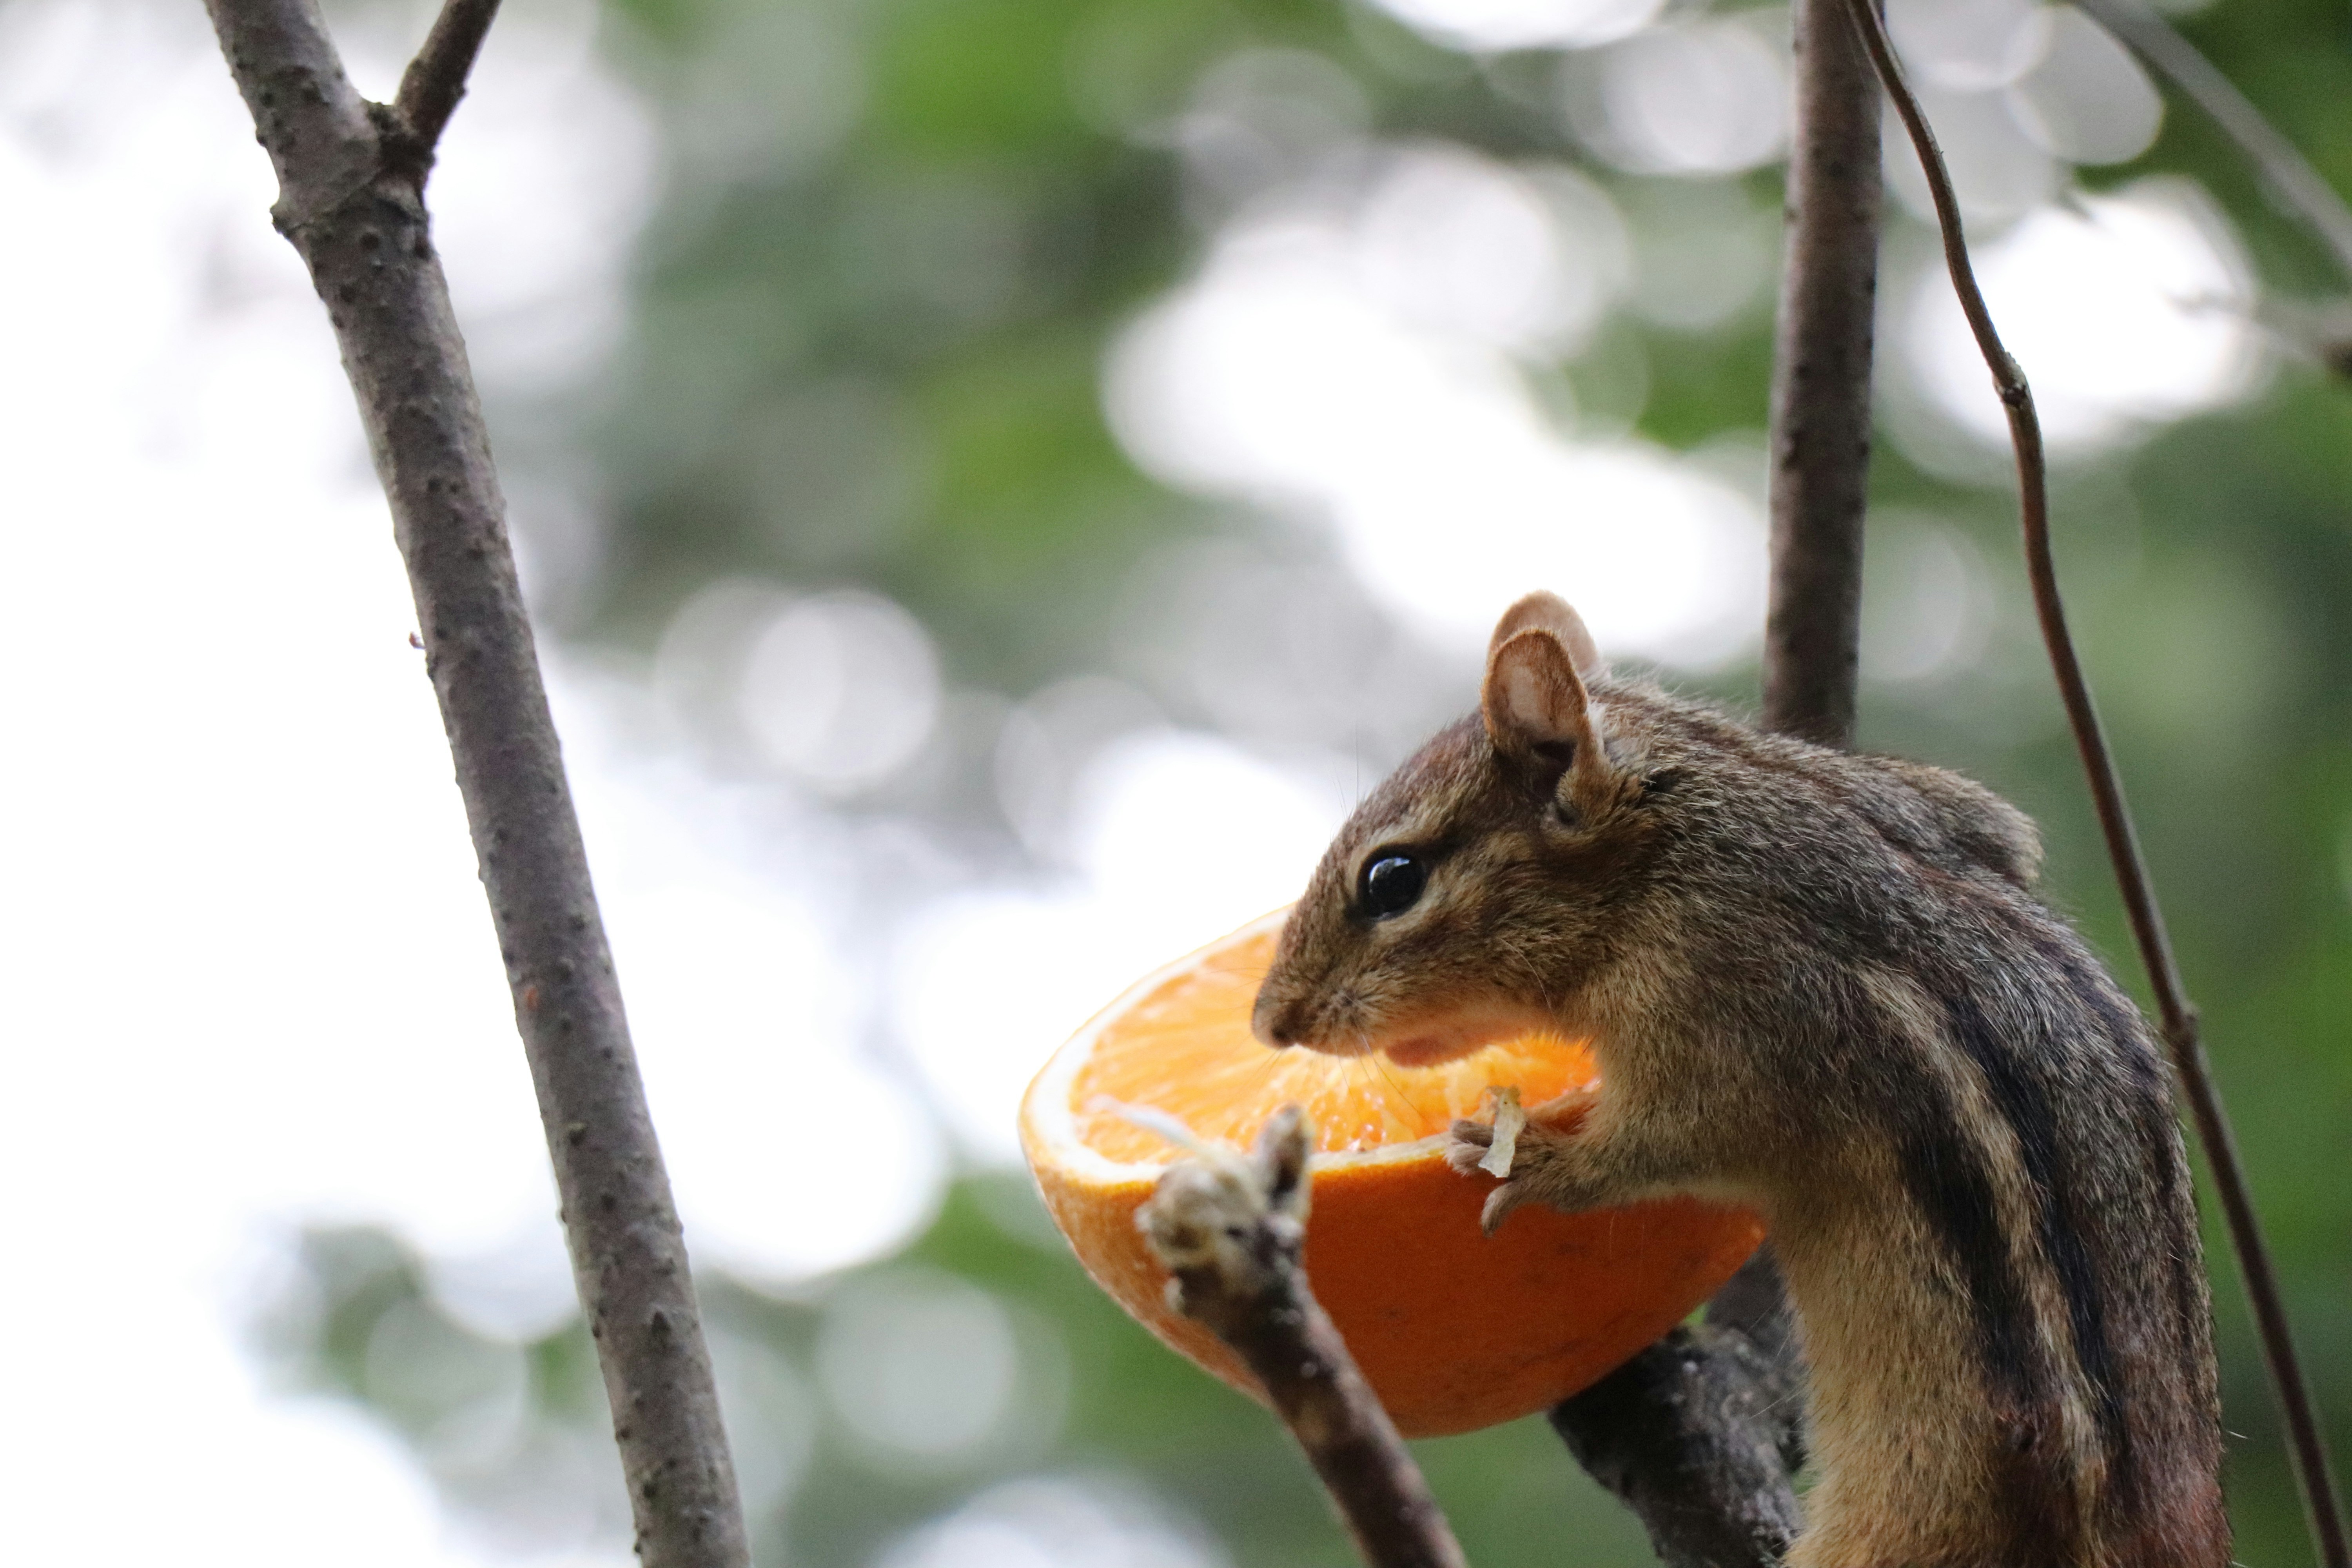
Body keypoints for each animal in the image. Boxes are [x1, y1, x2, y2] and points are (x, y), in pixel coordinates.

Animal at [1252, 592, 2227, 1568]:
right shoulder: (1953, 812)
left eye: (1392, 878)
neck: (1679, 845)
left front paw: (1531, 1158)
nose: (1270, 1020)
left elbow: (1659, 1142)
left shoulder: (1732, 1026)